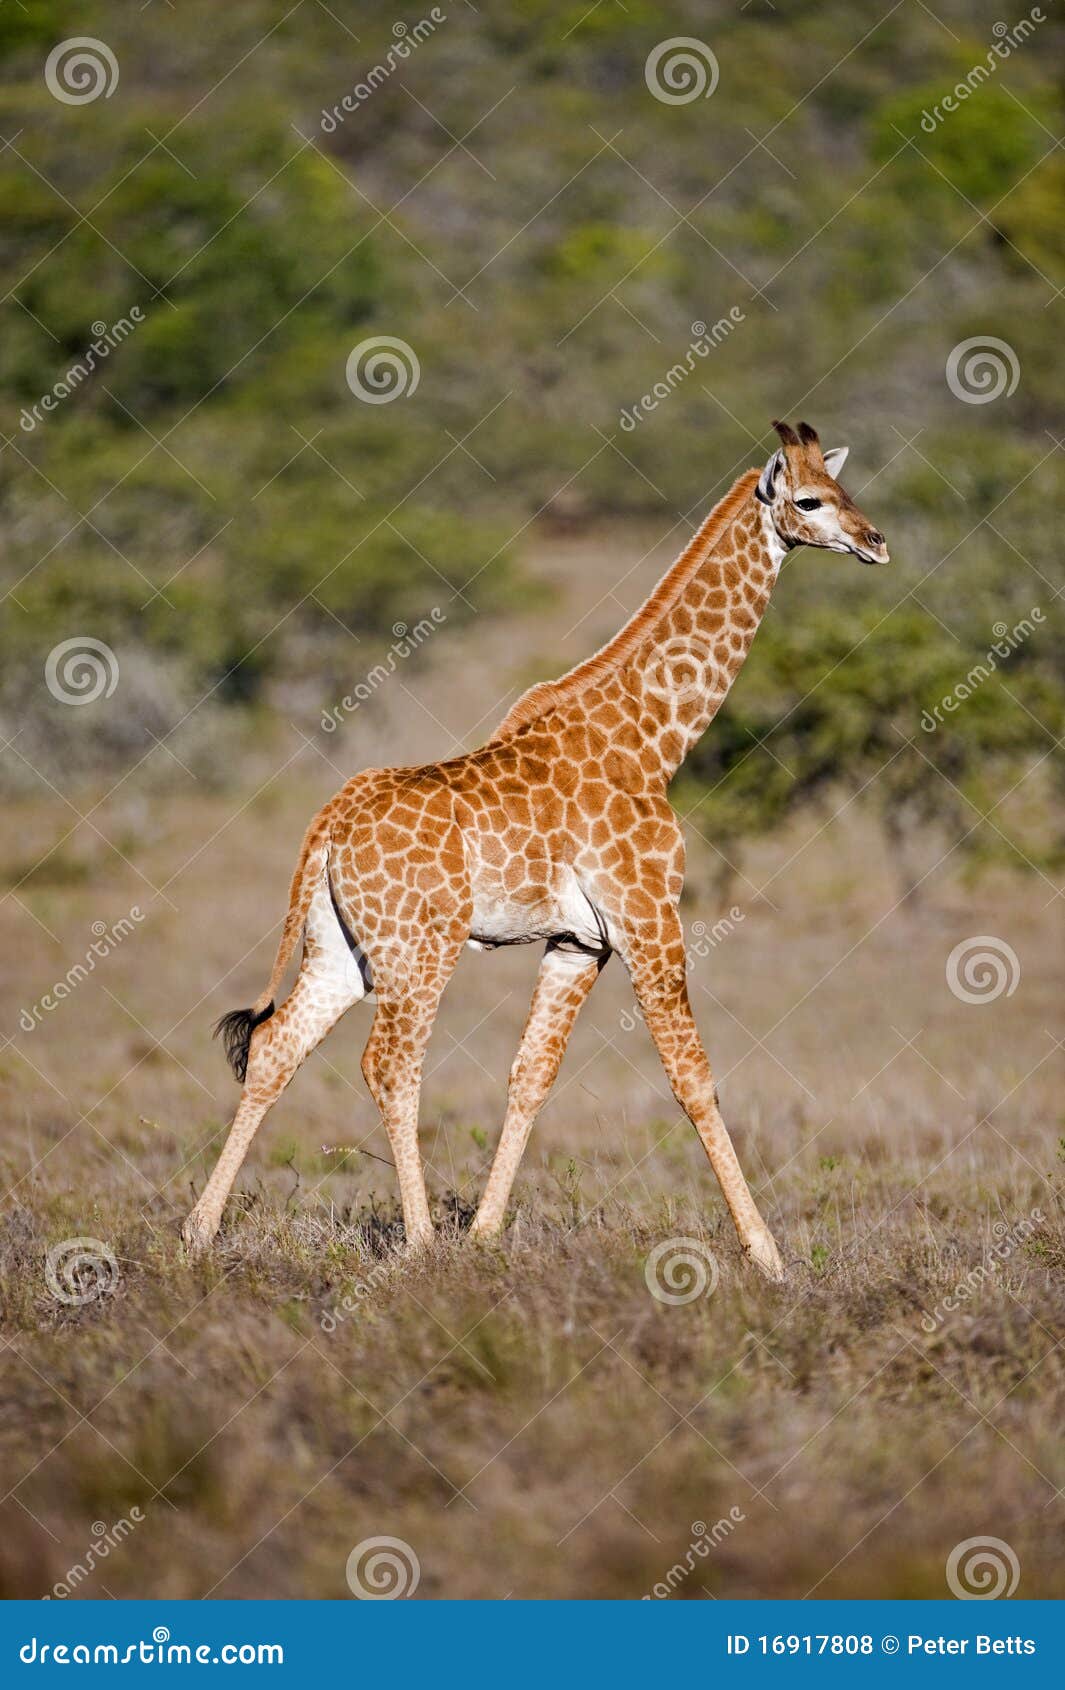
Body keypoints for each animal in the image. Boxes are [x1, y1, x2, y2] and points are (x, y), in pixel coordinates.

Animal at [182, 420, 888, 1277]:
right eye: (810, 500)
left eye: (848, 490)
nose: (875, 542)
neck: (654, 740)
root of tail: (329, 823)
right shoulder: (649, 919)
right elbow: (693, 1079)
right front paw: (767, 1256)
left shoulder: (577, 941)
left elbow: (530, 1075)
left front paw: (486, 1234)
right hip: (419, 948)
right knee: (388, 1065)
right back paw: (419, 1243)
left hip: (341, 946)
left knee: (275, 1046)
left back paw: (198, 1233)